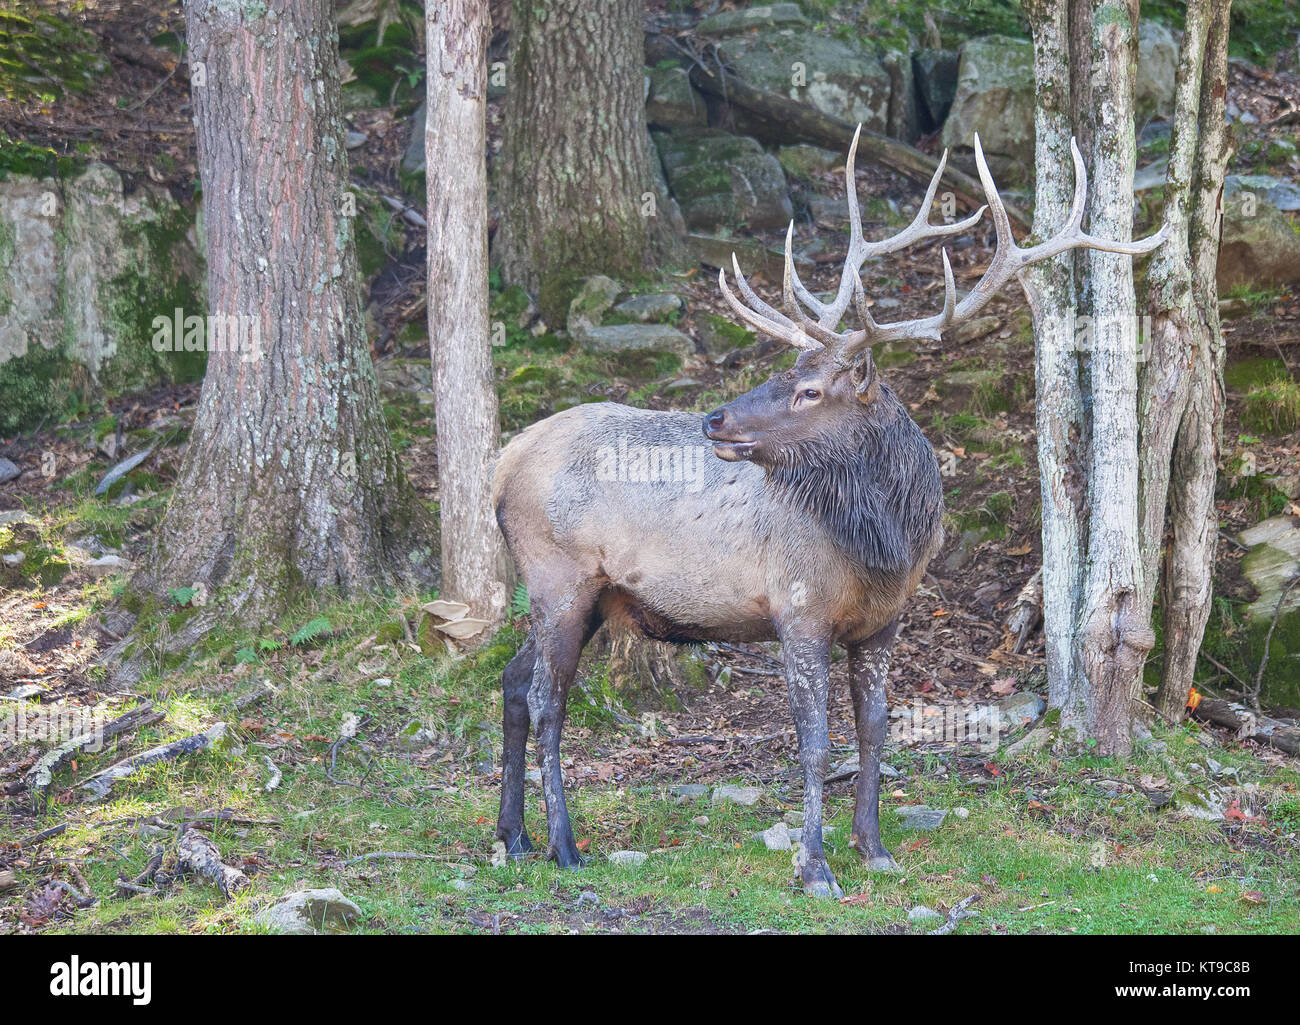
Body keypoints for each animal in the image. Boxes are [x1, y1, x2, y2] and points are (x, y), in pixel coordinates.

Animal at [491, 128, 1164, 897]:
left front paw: (873, 846)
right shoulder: (798, 607)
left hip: (595, 597)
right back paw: (563, 844)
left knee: (512, 682)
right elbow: (813, 740)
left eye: (808, 388)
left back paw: (513, 836)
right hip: (561, 577)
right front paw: (815, 866)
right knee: (547, 698)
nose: (713, 418)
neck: (883, 548)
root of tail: (502, 465)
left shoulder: (884, 621)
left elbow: (874, 727)